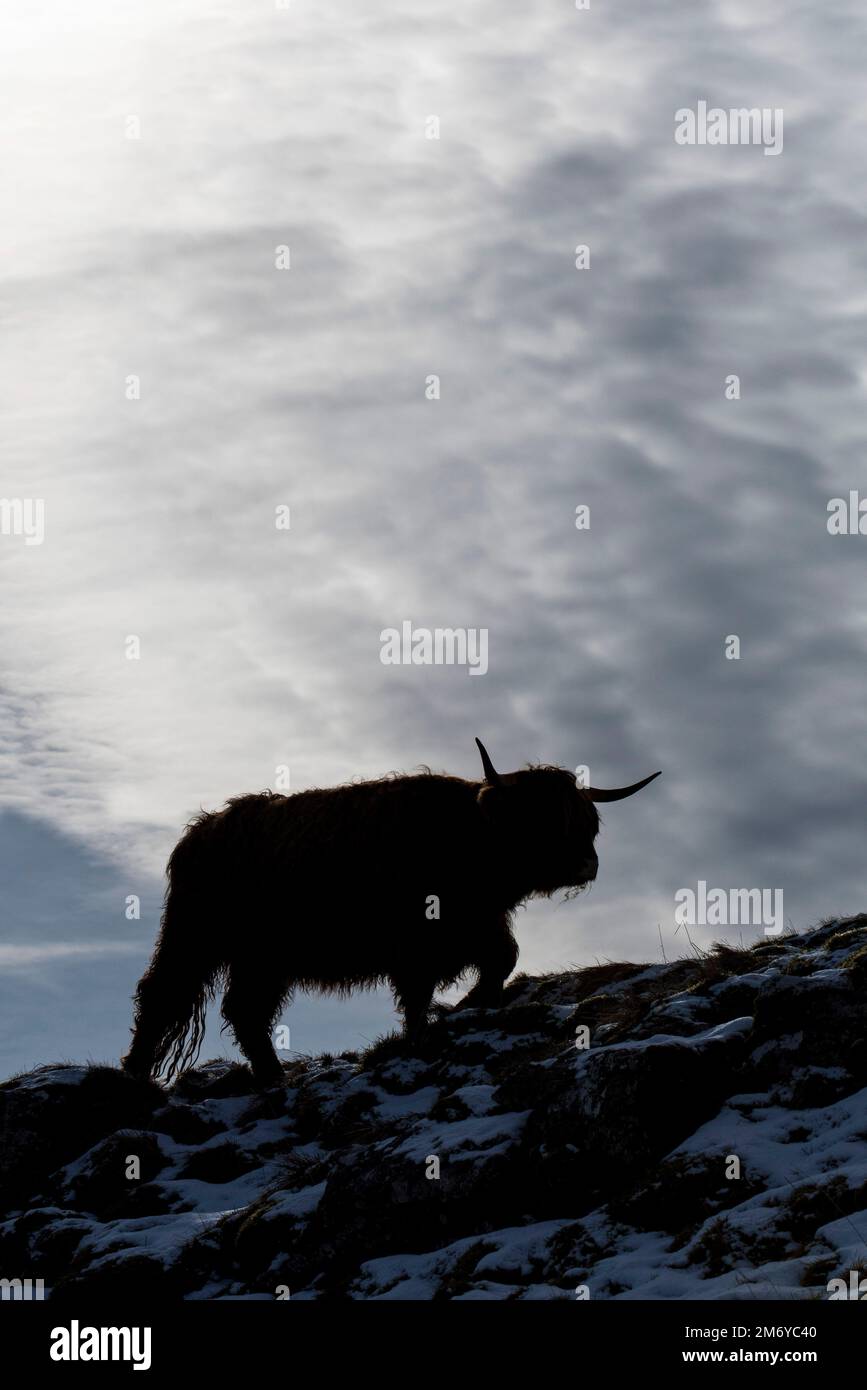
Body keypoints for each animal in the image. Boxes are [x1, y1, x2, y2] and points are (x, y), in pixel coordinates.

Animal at [121, 740, 660, 1087]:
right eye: (541, 818)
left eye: (587, 820)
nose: (587, 864)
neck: (473, 836)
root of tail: (202, 832)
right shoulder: (419, 940)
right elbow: (419, 993)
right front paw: (427, 1029)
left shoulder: (478, 925)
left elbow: (503, 959)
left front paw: (466, 1006)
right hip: (195, 937)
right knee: (164, 996)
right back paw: (136, 1075)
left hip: (263, 958)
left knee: (247, 1010)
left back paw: (273, 1078)